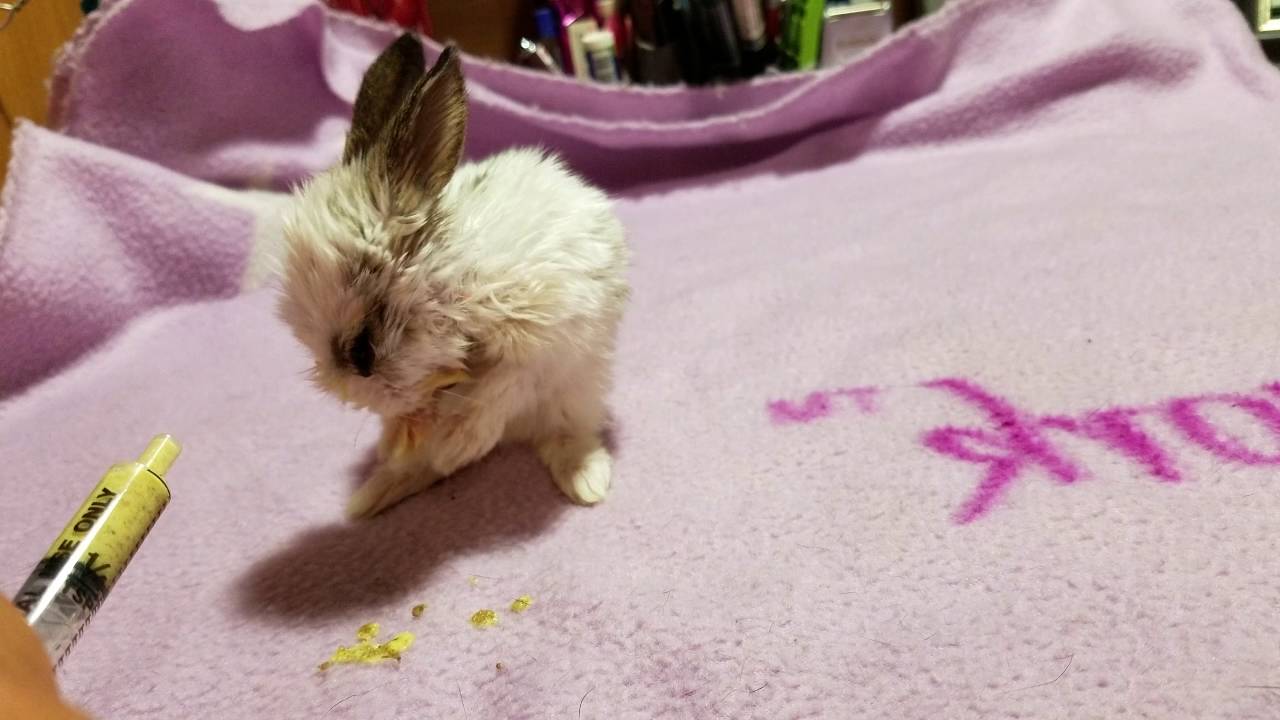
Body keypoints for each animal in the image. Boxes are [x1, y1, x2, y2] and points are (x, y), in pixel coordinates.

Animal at [277, 34, 630, 519]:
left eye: (362, 352)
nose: (396, 411)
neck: (447, 292)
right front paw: (409, 438)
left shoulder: (550, 335)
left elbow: (508, 382)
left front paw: (459, 441)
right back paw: (371, 497)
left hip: (575, 395)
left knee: (564, 436)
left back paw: (585, 481)